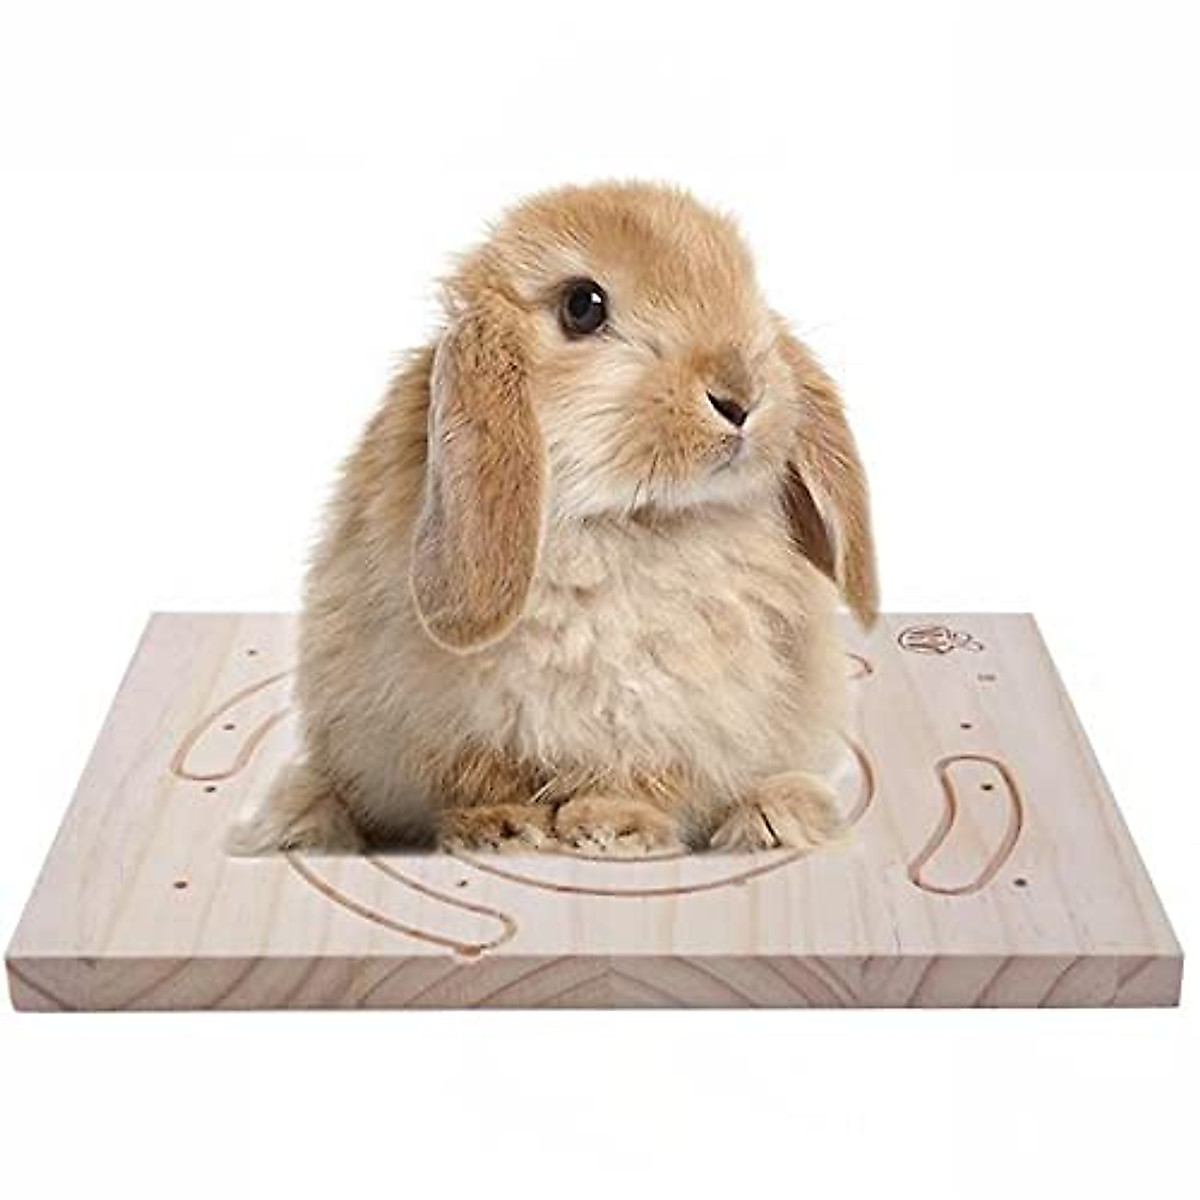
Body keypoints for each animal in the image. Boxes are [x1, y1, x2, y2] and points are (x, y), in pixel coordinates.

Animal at [230, 181, 878, 858]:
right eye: (583, 307)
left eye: (747, 289)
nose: (741, 397)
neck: (619, 523)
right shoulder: (456, 719)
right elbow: (484, 774)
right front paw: (501, 830)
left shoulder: (676, 711)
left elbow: (645, 773)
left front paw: (614, 827)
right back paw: (301, 822)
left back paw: (775, 818)